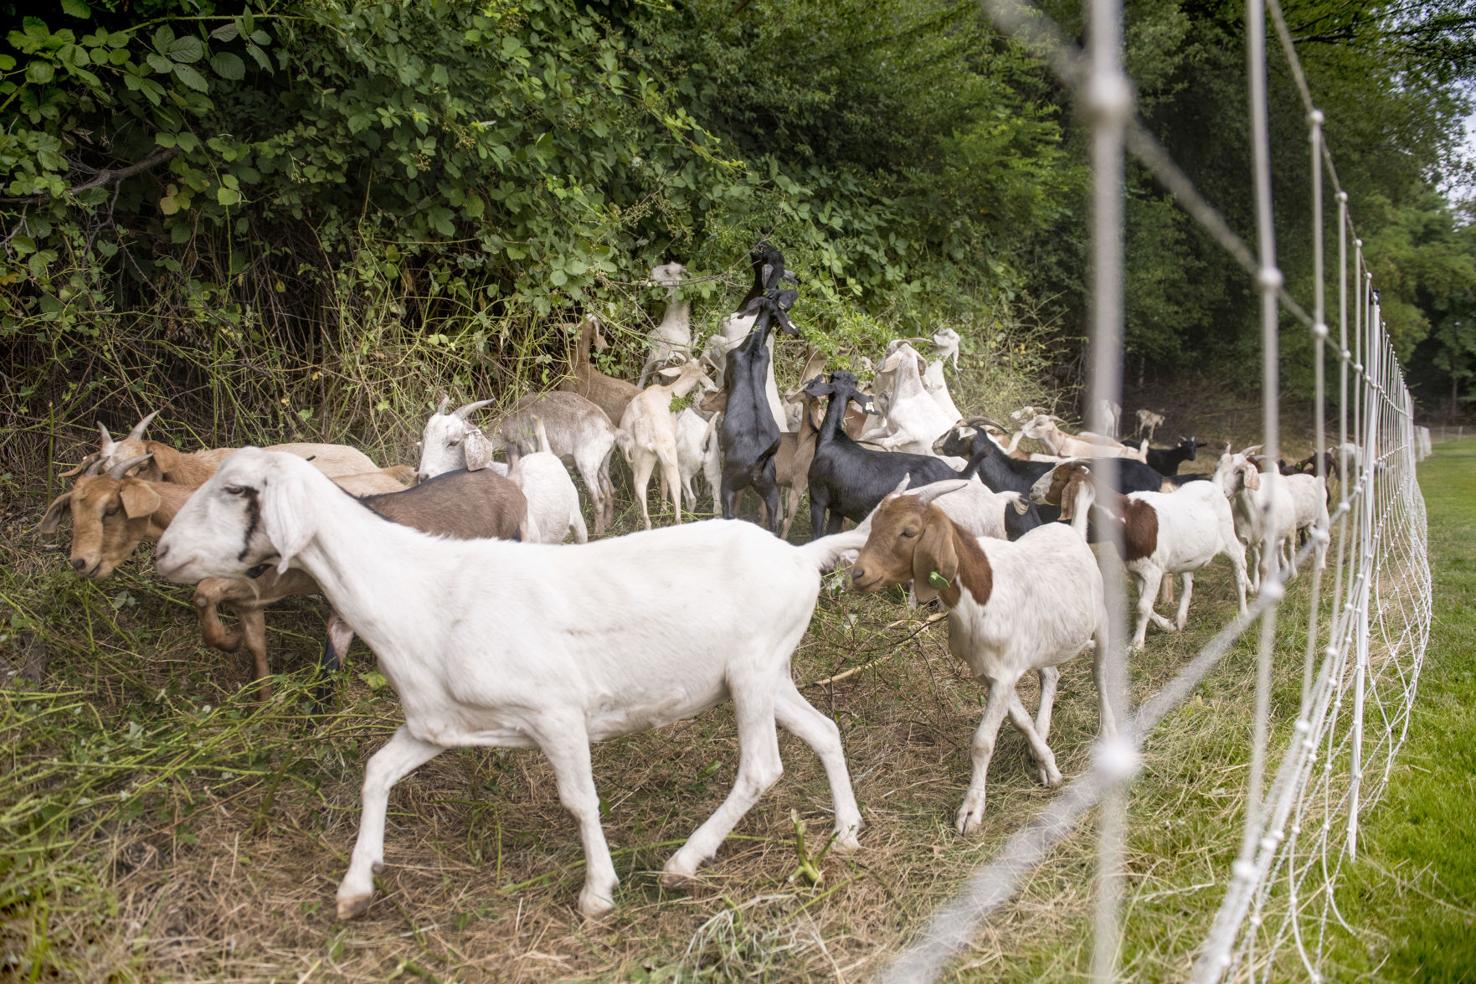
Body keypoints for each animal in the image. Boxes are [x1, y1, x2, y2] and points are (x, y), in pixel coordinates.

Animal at [154, 448, 869, 919]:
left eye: (235, 489)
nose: (161, 553)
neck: (419, 590)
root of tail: (801, 555)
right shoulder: (438, 723)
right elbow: (377, 771)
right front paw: (356, 887)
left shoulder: (556, 713)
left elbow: (579, 800)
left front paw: (597, 894)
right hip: (768, 672)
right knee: (824, 731)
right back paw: (845, 833)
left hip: (752, 668)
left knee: (761, 768)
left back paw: (683, 863)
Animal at [617, 360, 715, 529]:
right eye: (703, 371)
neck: (667, 392)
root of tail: (654, 440)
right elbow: (664, 482)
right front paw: (663, 509)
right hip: (670, 458)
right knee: (675, 488)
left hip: (643, 459)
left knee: (640, 485)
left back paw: (645, 520)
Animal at [804, 372, 958, 539]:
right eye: (847, 381)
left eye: (833, 377)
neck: (833, 438)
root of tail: (957, 474)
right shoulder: (838, 509)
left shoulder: (818, 499)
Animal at [848, 482, 1113, 833]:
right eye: (876, 522)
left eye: (908, 531)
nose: (859, 573)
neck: (981, 594)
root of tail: (1074, 531)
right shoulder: (990, 672)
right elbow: (1020, 720)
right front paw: (1048, 765)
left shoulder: (1003, 674)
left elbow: (983, 742)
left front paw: (971, 811)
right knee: (1051, 675)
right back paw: (1044, 732)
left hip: (1101, 621)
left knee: (1100, 674)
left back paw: (1109, 733)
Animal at [1030, 461, 1248, 649]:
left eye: (1057, 478)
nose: (1032, 490)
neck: (1128, 516)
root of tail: (1215, 487)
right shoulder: (1136, 568)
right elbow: (1145, 605)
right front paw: (1167, 626)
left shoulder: (1154, 571)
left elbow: (1143, 606)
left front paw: (1136, 645)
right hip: (1186, 555)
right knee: (1188, 582)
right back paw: (1180, 620)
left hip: (1229, 538)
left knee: (1239, 569)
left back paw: (1243, 612)